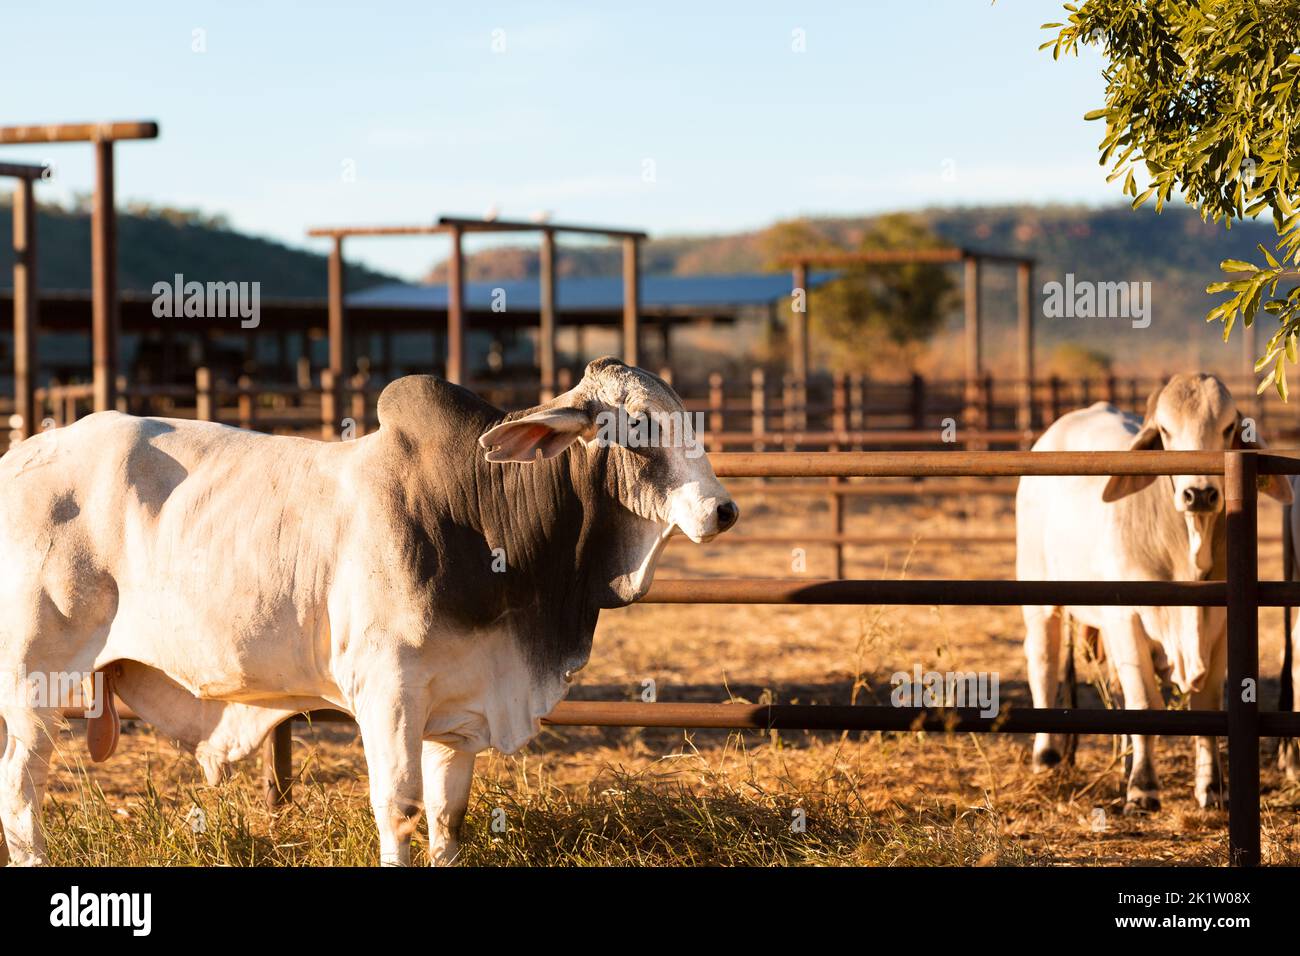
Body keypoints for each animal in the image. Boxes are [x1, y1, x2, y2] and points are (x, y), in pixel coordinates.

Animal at [0, 357, 738, 866]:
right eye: (635, 427)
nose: (723, 509)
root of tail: (17, 458)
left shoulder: (458, 715)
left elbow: (445, 819)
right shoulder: (388, 693)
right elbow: (398, 810)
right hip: (35, 683)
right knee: (21, 795)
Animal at [1016, 373, 1290, 812]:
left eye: (1229, 426)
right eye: (1165, 430)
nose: (1200, 494)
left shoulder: (1218, 626)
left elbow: (1205, 704)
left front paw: (1212, 787)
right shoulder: (1128, 618)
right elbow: (1144, 700)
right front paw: (1143, 787)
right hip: (1040, 594)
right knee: (1043, 658)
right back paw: (1047, 757)